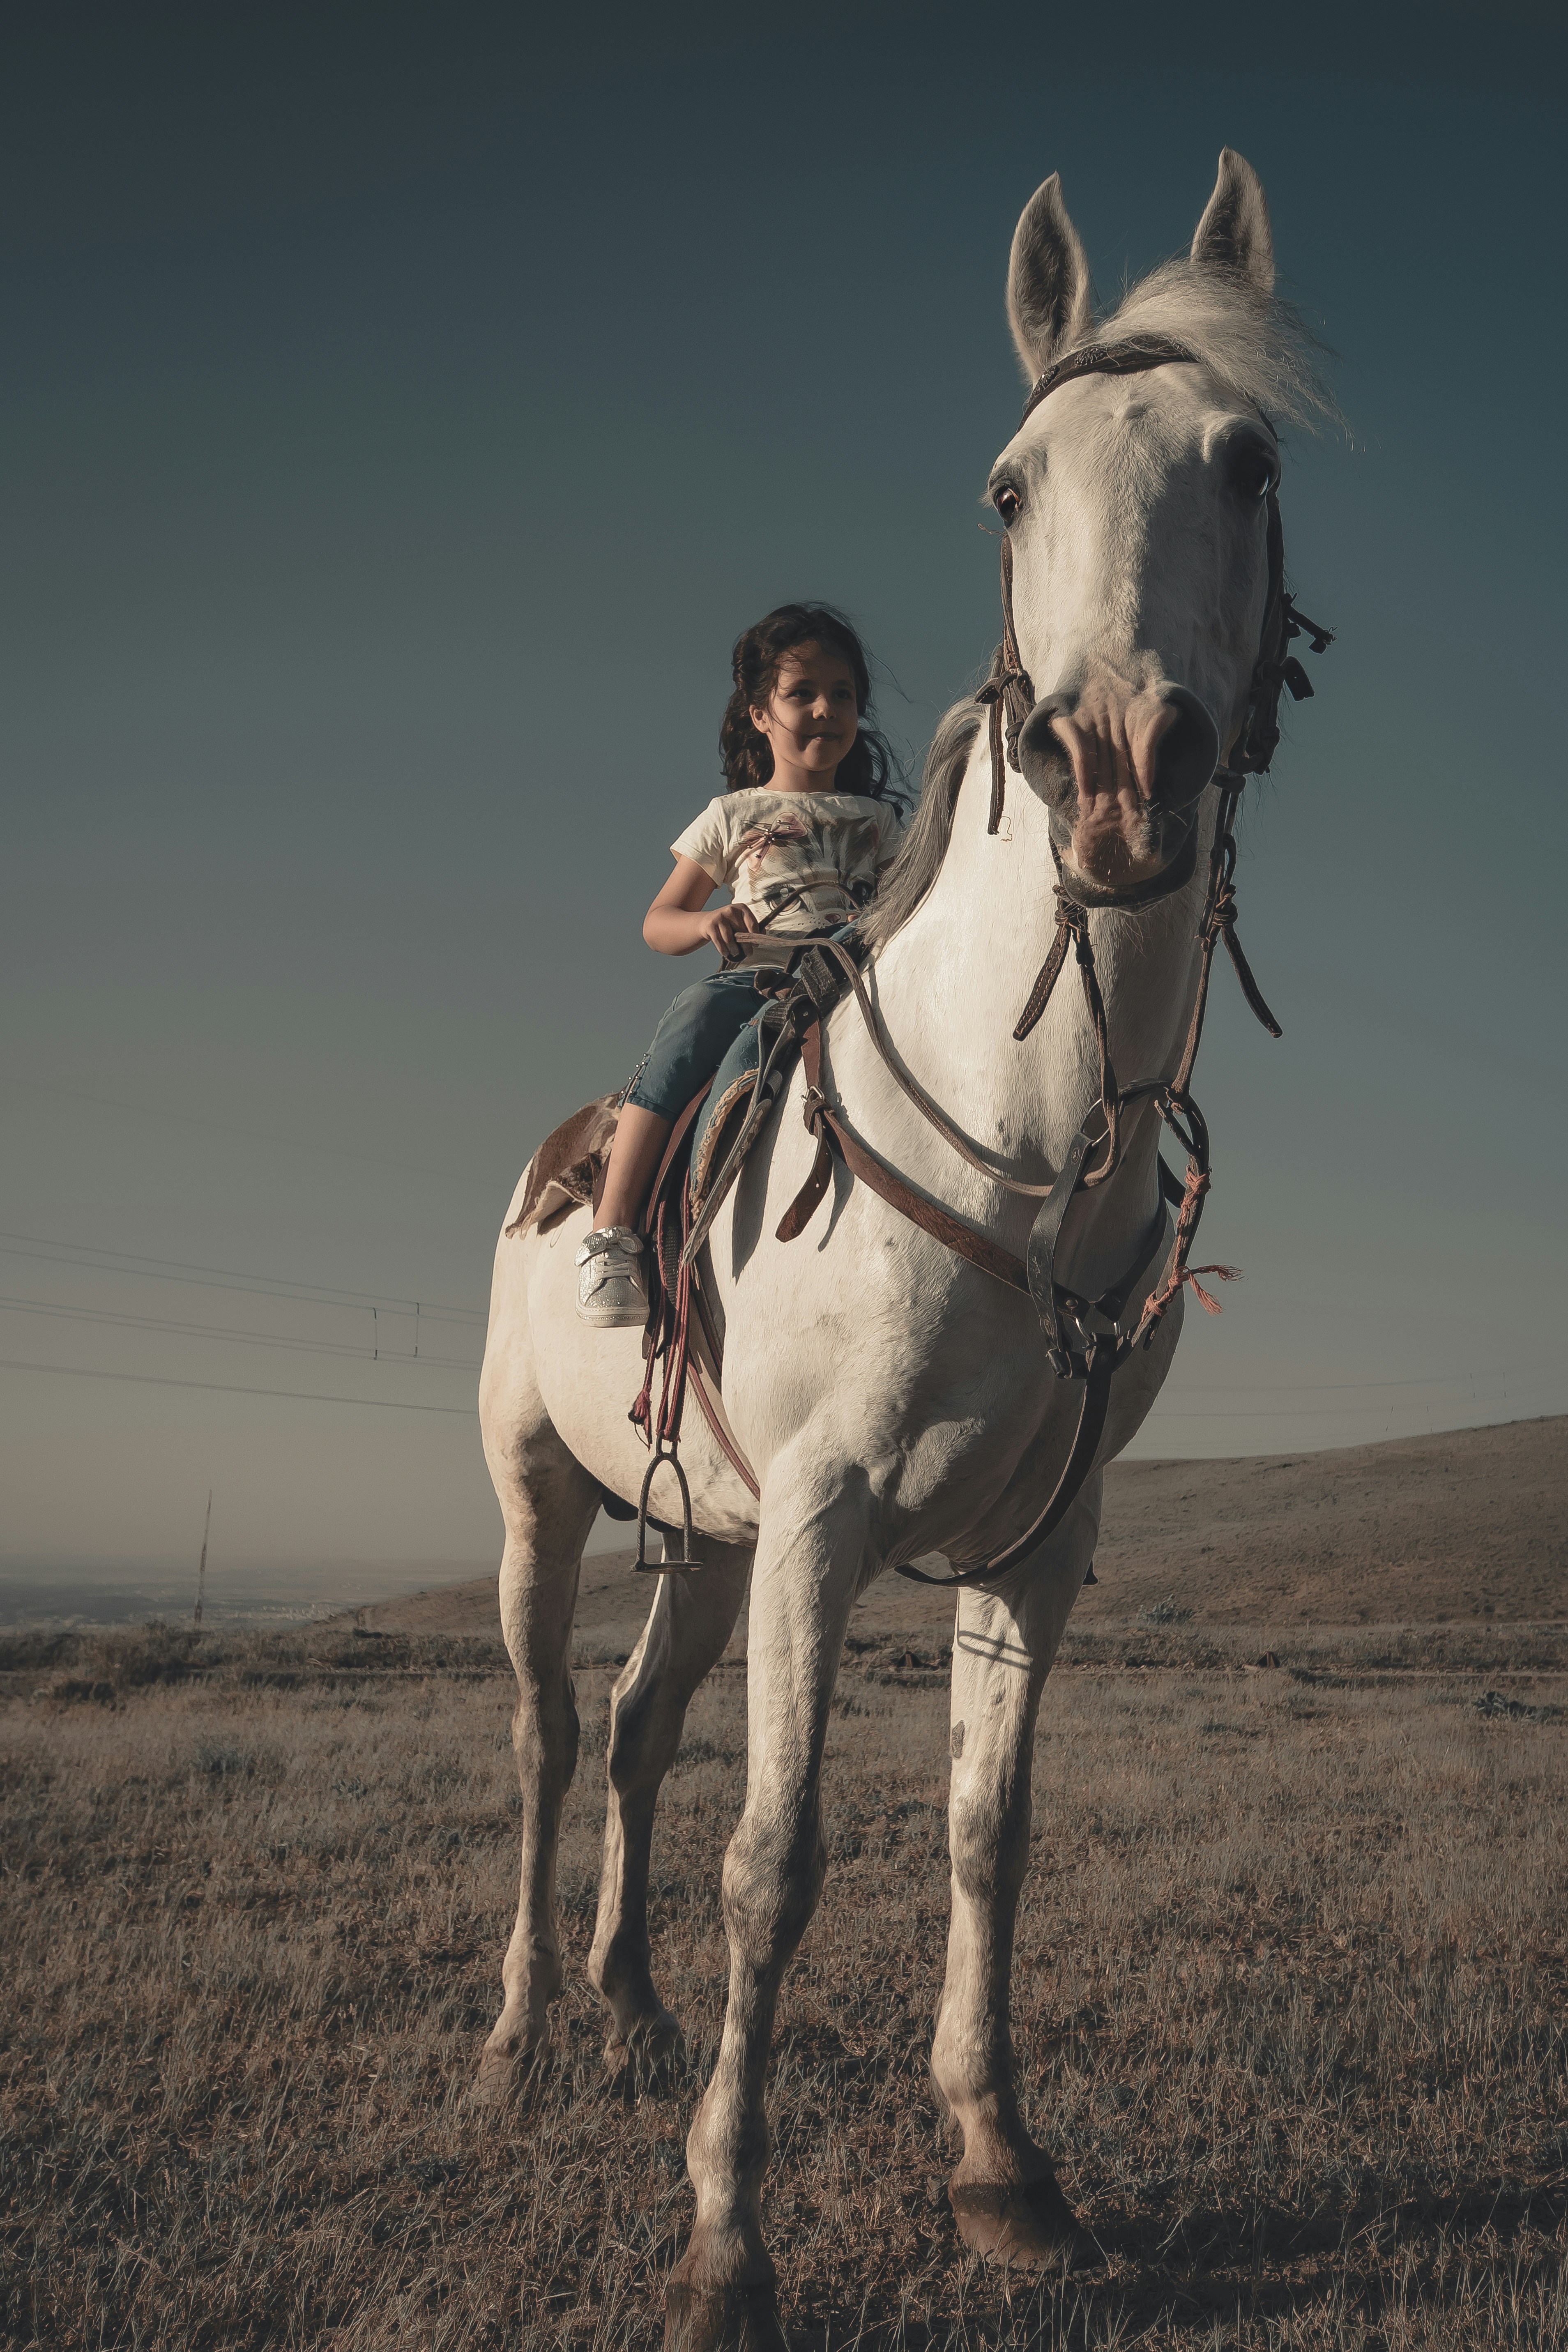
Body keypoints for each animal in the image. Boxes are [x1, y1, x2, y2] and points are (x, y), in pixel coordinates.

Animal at [476, 148, 1331, 2352]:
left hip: (699, 1530)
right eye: (1009, 488)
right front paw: (725, 2240)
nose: (1116, 774)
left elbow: (982, 1833)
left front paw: (1001, 2169)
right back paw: (516, 2040)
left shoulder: (1033, 1537)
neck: (1034, 1140)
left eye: (1245, 460)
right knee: (544, 1739)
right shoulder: (827, 1516)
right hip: (546, 1497)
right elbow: (775, 1860)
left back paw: (622, 2018)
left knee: (631, 1732)